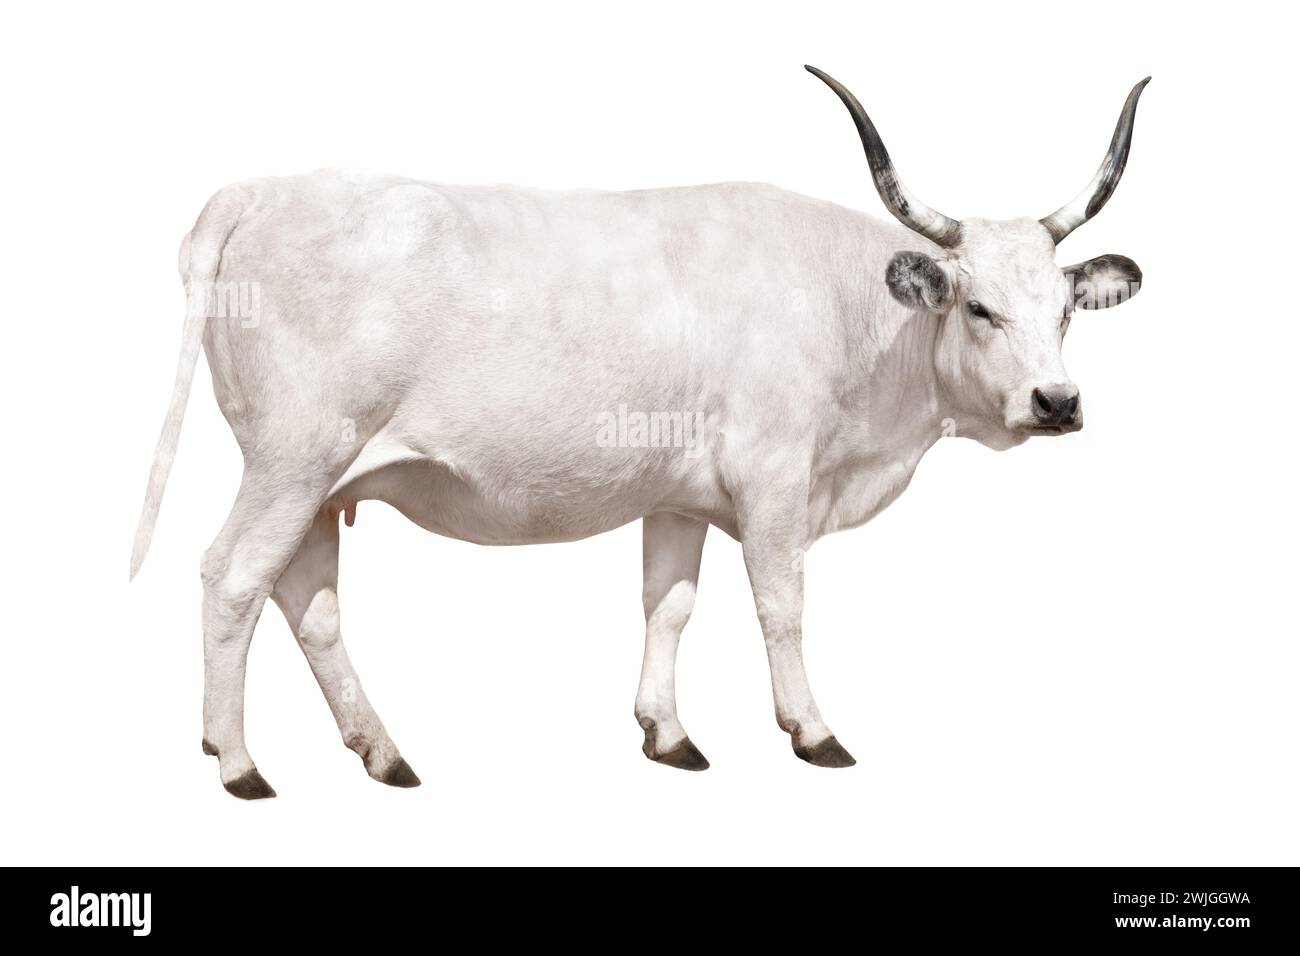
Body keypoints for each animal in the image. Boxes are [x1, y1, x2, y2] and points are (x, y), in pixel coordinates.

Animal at [131, 67, 1148, 798]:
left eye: (1066, 310)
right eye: (977, 308)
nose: (1057, 402)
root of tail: (260, 190)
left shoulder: (680, 495)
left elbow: (670, 604)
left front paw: (668, 733)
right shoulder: (775, 475)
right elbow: (782, 606)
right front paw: (812, 730)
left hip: (320, 478)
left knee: (308, 601)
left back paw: (380, 752)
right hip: (293, 458)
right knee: (232, 578)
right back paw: (238, 763)